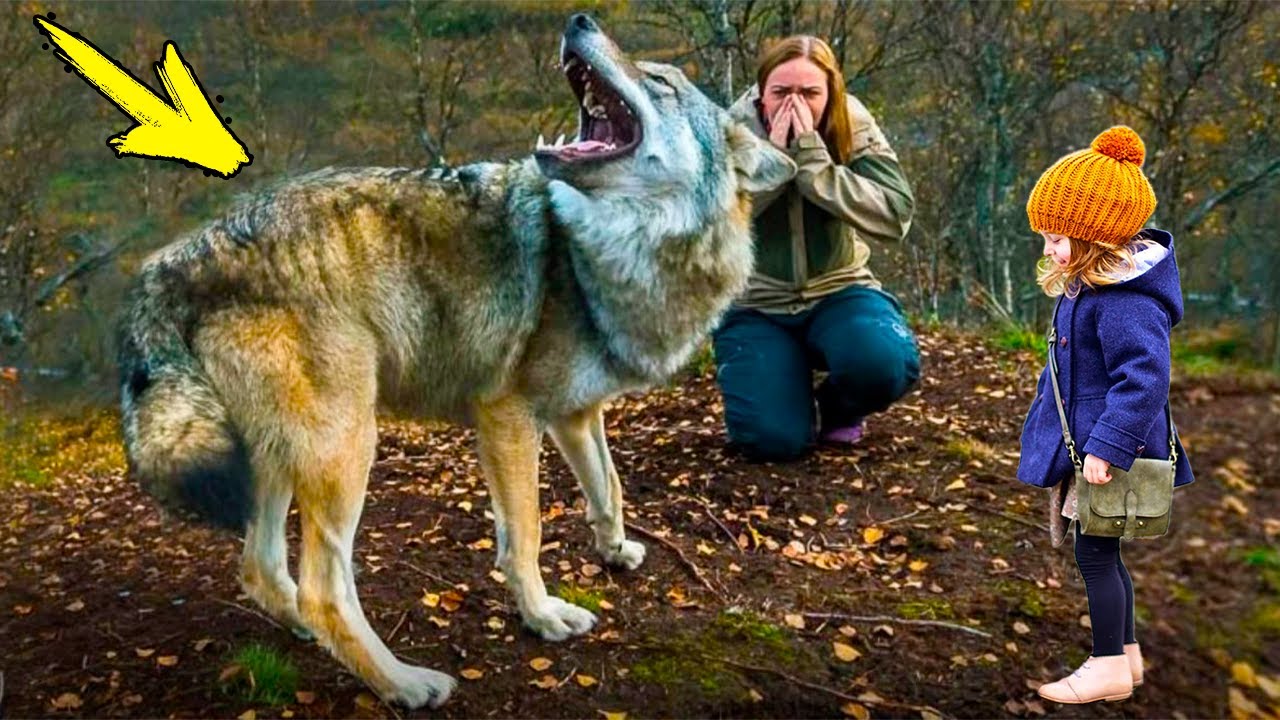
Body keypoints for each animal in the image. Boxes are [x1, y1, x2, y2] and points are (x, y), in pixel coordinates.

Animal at [117, 13, 793, 708]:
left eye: (660, 82)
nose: (579, 20)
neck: (606, 253)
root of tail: (167, 264)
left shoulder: (575, 413)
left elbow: (609, 487)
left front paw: (616, 550)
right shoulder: (508, 416)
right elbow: (526, 535)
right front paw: (544, 617)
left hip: (282, 458)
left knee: (261, 569)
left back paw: (312, 635)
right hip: (346, 448)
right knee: (323, 589)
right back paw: (403, 683)